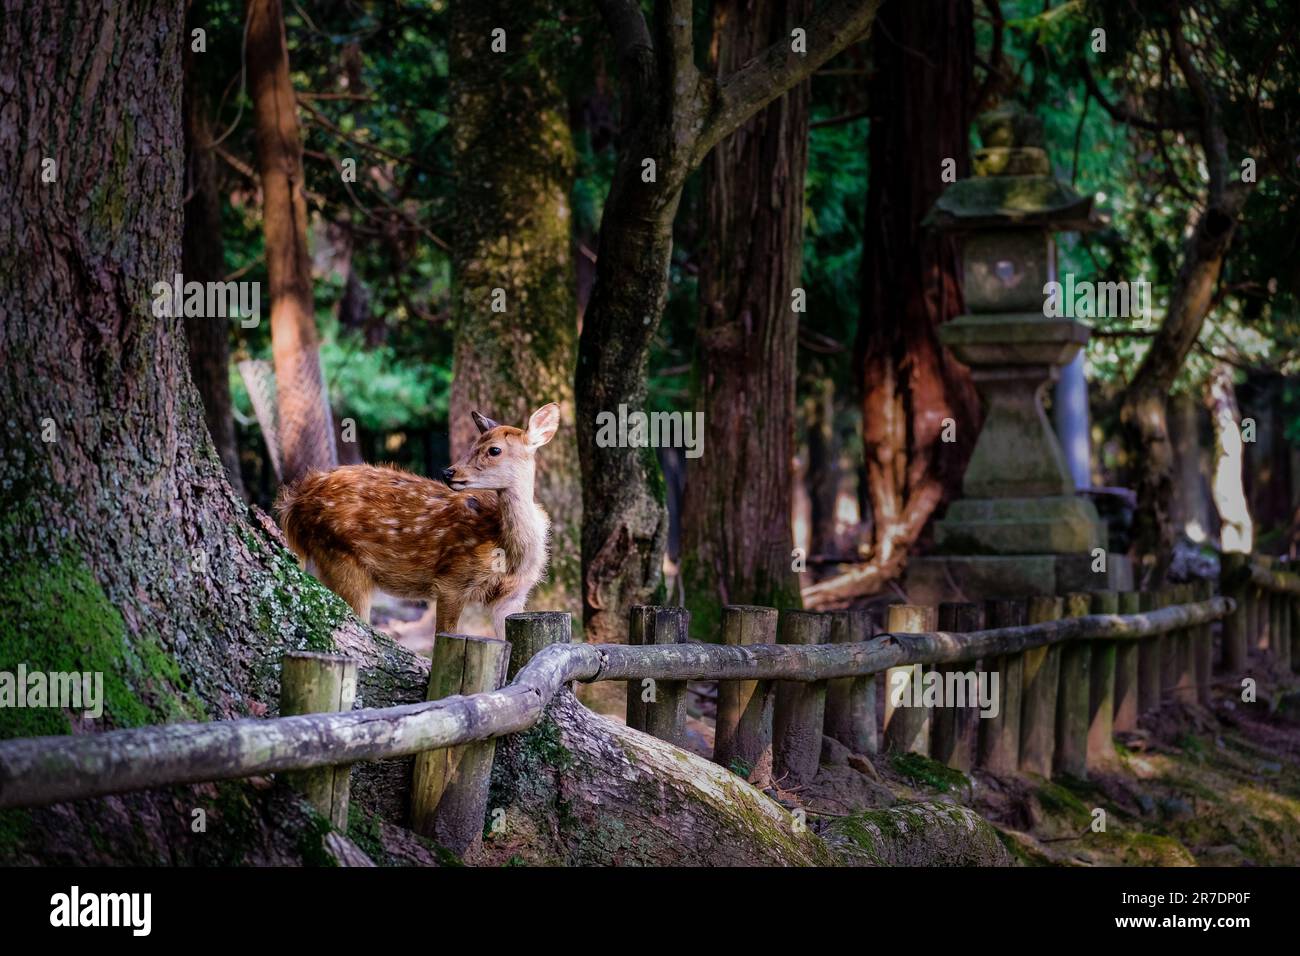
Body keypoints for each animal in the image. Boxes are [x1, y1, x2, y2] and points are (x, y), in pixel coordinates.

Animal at [277, 403, 560, 640]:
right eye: (473, 444)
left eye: (495, 450)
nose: (449, 472)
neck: (508, 552)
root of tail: (295, 499)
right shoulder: (452, 579)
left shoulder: (513, 596)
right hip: (341, 558)